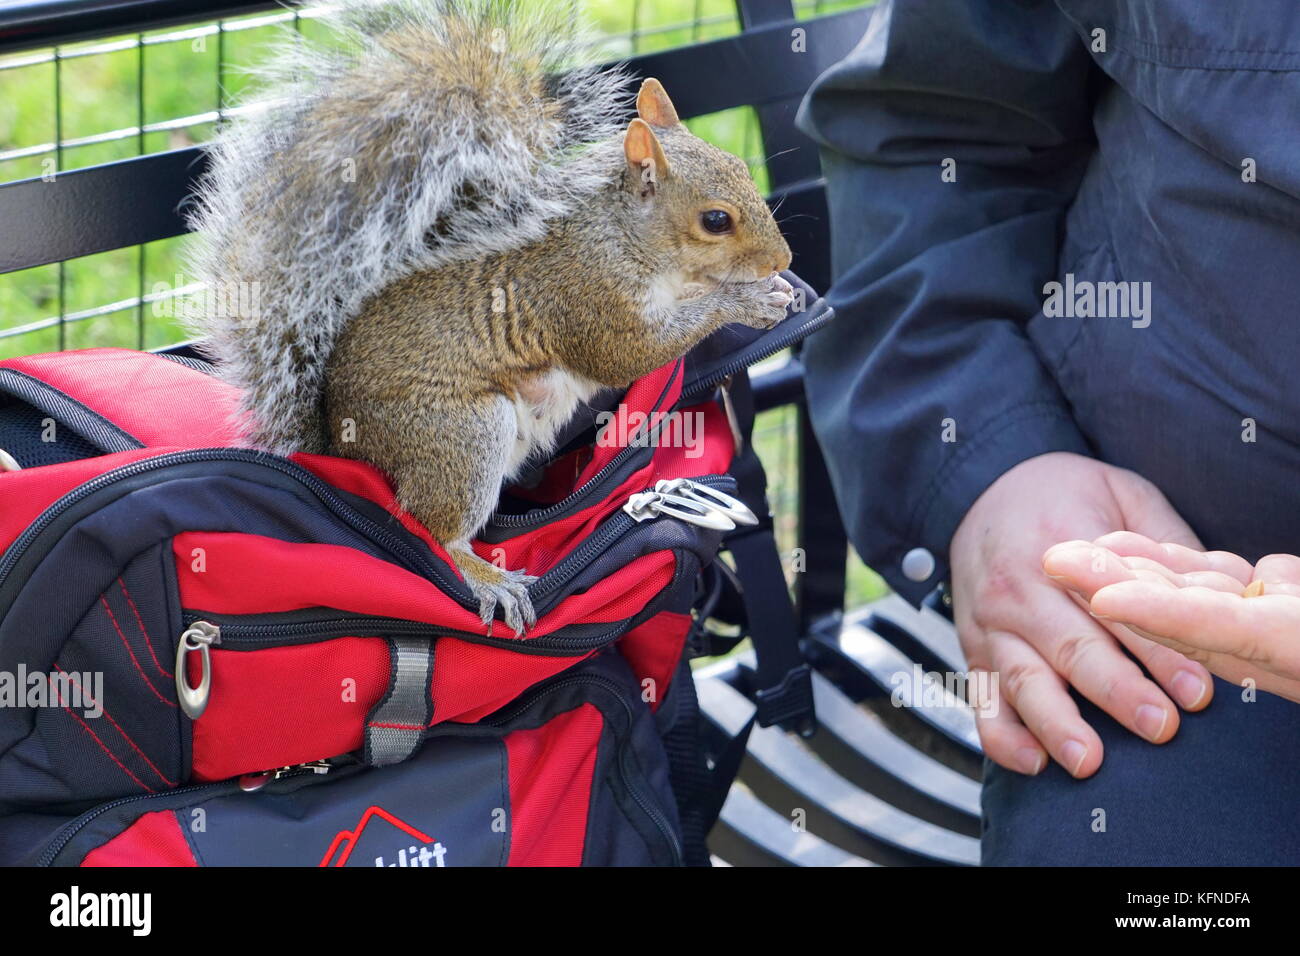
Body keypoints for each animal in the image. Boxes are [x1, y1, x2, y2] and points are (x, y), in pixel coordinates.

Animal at [185, 0, 793, 633]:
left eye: (744, 170)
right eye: (716, 220)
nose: (783, 260)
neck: (626, 236)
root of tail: (341, 449)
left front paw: (769, 290)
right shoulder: (586, 296)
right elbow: (627, 355)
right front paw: (745, 301)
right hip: (461, 433)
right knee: (434, 531)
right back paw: (488, 577)